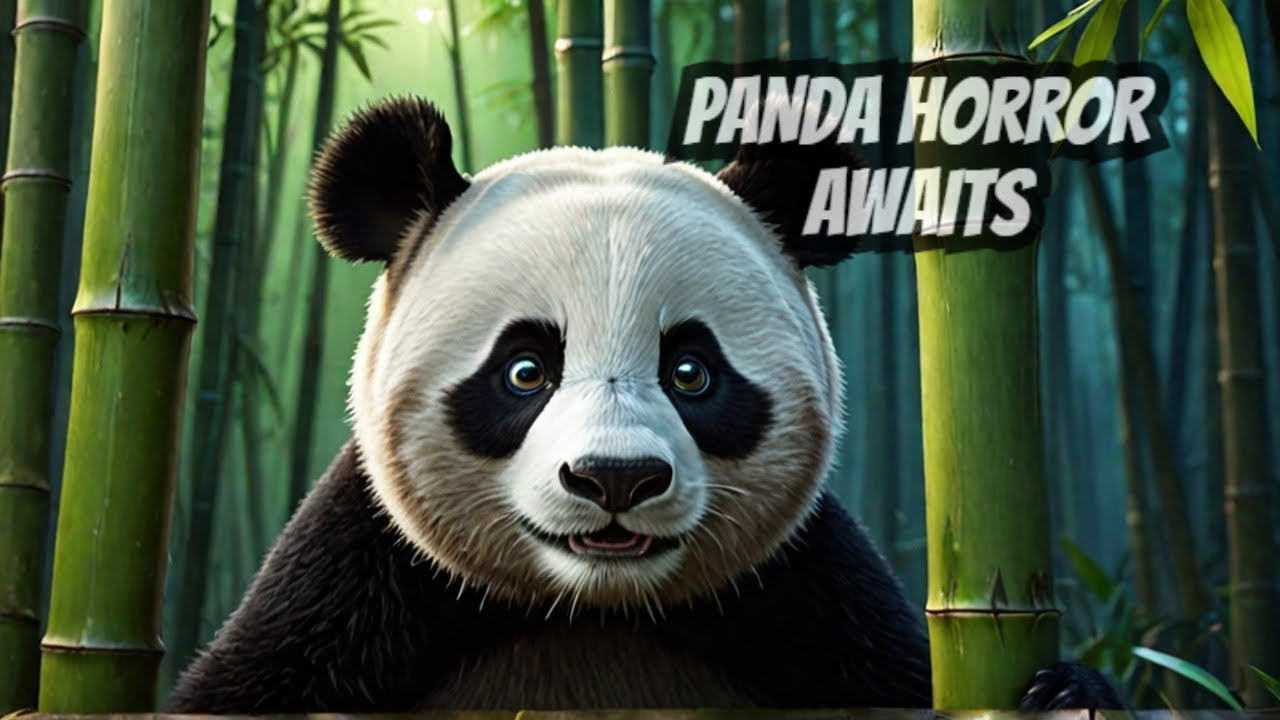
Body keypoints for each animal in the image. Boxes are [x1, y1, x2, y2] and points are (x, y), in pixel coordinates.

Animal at [165, 96, 1120, 713]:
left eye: (692, 372)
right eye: (525, 371)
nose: (613, 479)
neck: (592, 607)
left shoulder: (803, 596)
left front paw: (1067, 692)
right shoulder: (366, 579)